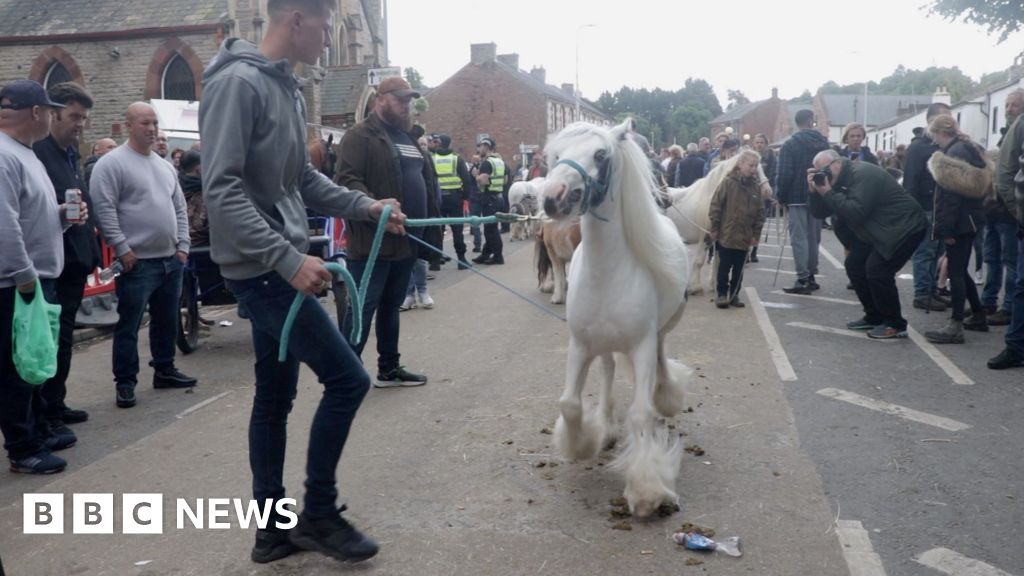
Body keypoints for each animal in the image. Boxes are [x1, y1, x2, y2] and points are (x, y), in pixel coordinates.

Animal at [541, 119, 691, 517]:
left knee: (661, 359)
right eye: (555, 155)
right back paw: (606, 427)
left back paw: (666, 396)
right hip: (602, 344)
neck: (608, 273)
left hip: (660, 332)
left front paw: (647, 491)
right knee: (607, 371)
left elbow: (641, 414)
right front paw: (582, 444)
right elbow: (569, 404)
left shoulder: (641, 347)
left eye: (600, 154)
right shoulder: (580, 345)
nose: (552, 198)